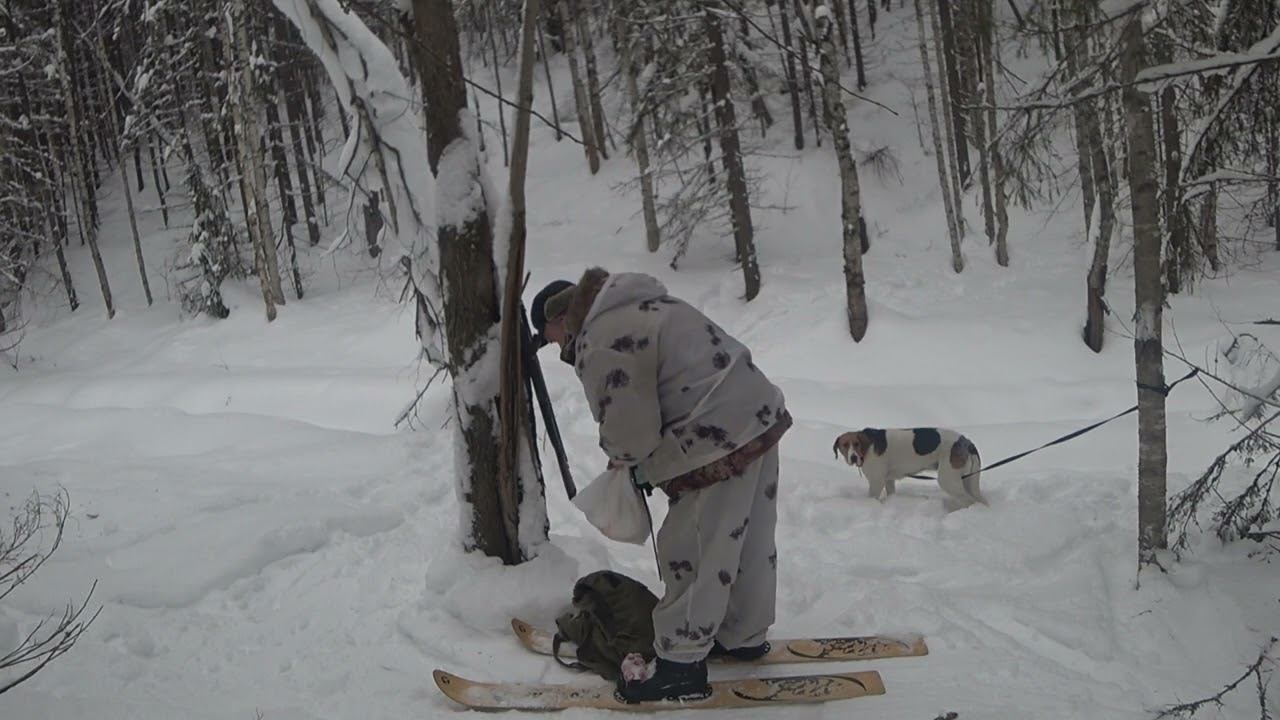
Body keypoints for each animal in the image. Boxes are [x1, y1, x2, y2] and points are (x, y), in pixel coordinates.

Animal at [833, 427, 985, 509]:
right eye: (844, 445)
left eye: (856, 444)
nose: (853, 457)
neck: (868, 445)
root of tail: (967, 442)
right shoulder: (888, 480)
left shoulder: (877, 482)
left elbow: (872, 496)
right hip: (967, 480)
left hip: (948, 480)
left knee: (969, 501)